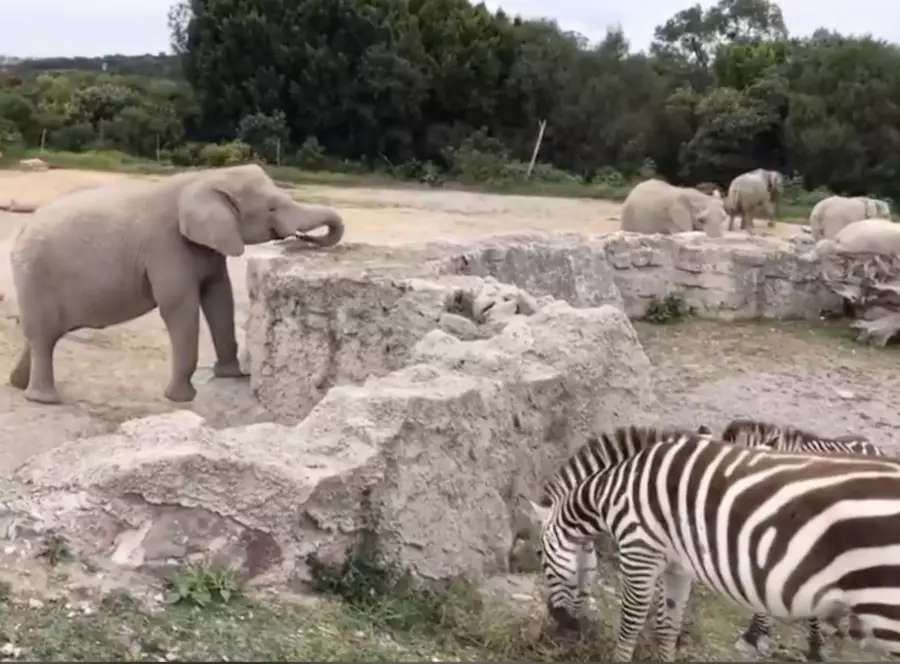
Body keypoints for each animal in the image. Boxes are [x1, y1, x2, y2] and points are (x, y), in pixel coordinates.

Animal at [7, 161, 344, 404]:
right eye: (271, 208)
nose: (301, 238)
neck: (205, 178)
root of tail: (22, 230)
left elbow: (219, 296)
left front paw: (230, 375)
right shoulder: (166, 247)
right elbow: (180, 306)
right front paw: (181, 399)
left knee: (38, 335)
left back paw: (18, 385)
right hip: (37, 275)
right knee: (43, 337)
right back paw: (43, 400)